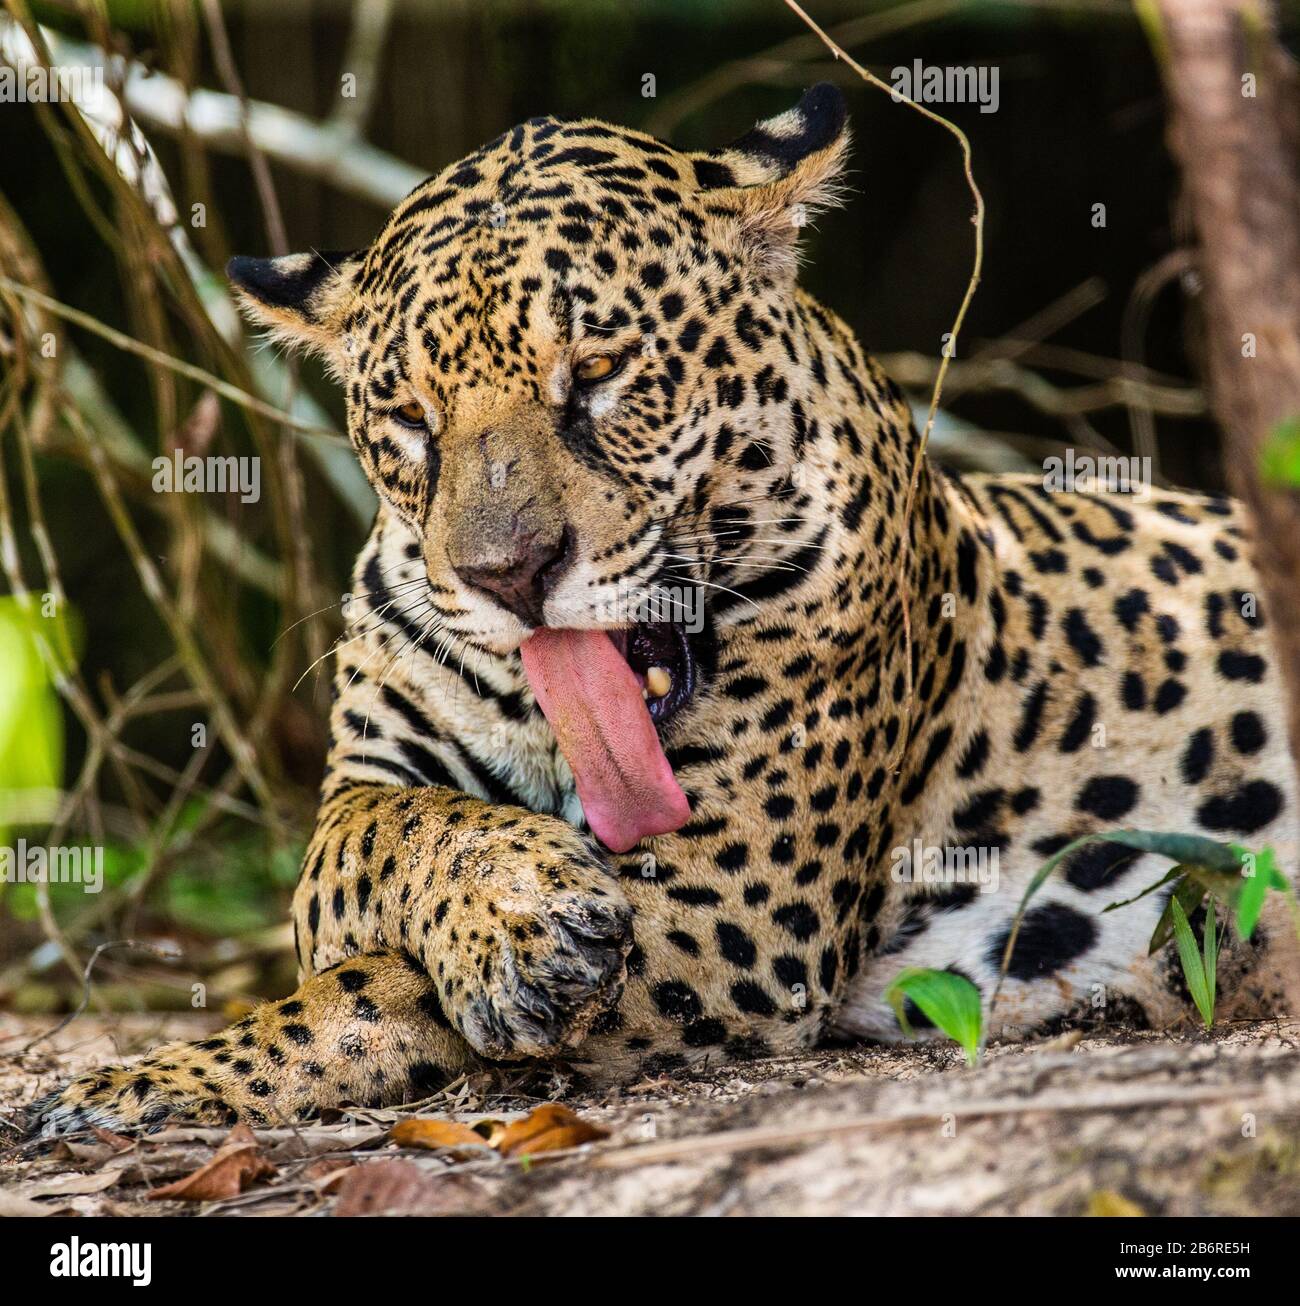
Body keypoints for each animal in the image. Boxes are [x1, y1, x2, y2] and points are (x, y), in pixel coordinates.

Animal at [31, 84, 1300, 1134]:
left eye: (597, 372)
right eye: (408, 421)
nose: (507, 575)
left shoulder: (727, 916)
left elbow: (368, 992)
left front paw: (146, 1080)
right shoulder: (368, 777)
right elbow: (364, 848)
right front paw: (516, 908)